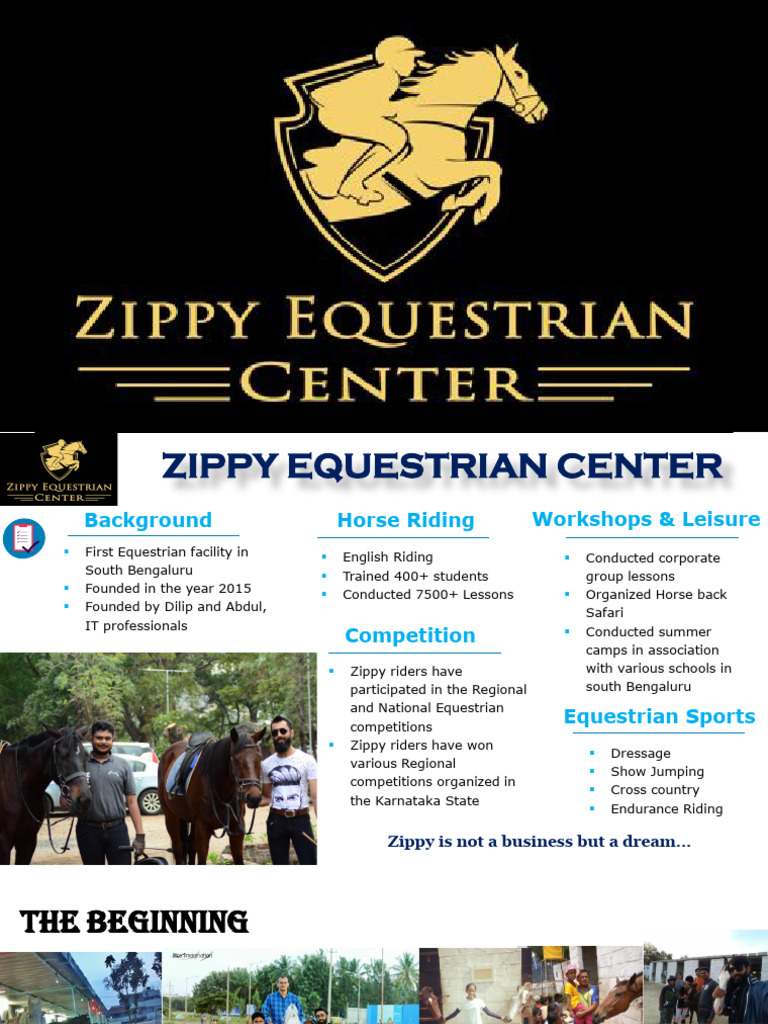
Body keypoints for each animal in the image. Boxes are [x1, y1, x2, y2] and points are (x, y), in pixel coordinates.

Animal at [159, 726, 266, 864]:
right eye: (236, 759)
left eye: (260, 758)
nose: (254, 797)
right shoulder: (203, 829)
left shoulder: (237, 829)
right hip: (171, 817)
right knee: (178, 848)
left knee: (191, 846)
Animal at [304, 44, 547, 226]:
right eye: (519, 74)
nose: (542, 111)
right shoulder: (435, 174)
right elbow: (492, 167)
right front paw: (482, 210)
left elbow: (487, 171)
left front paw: (457, 201)